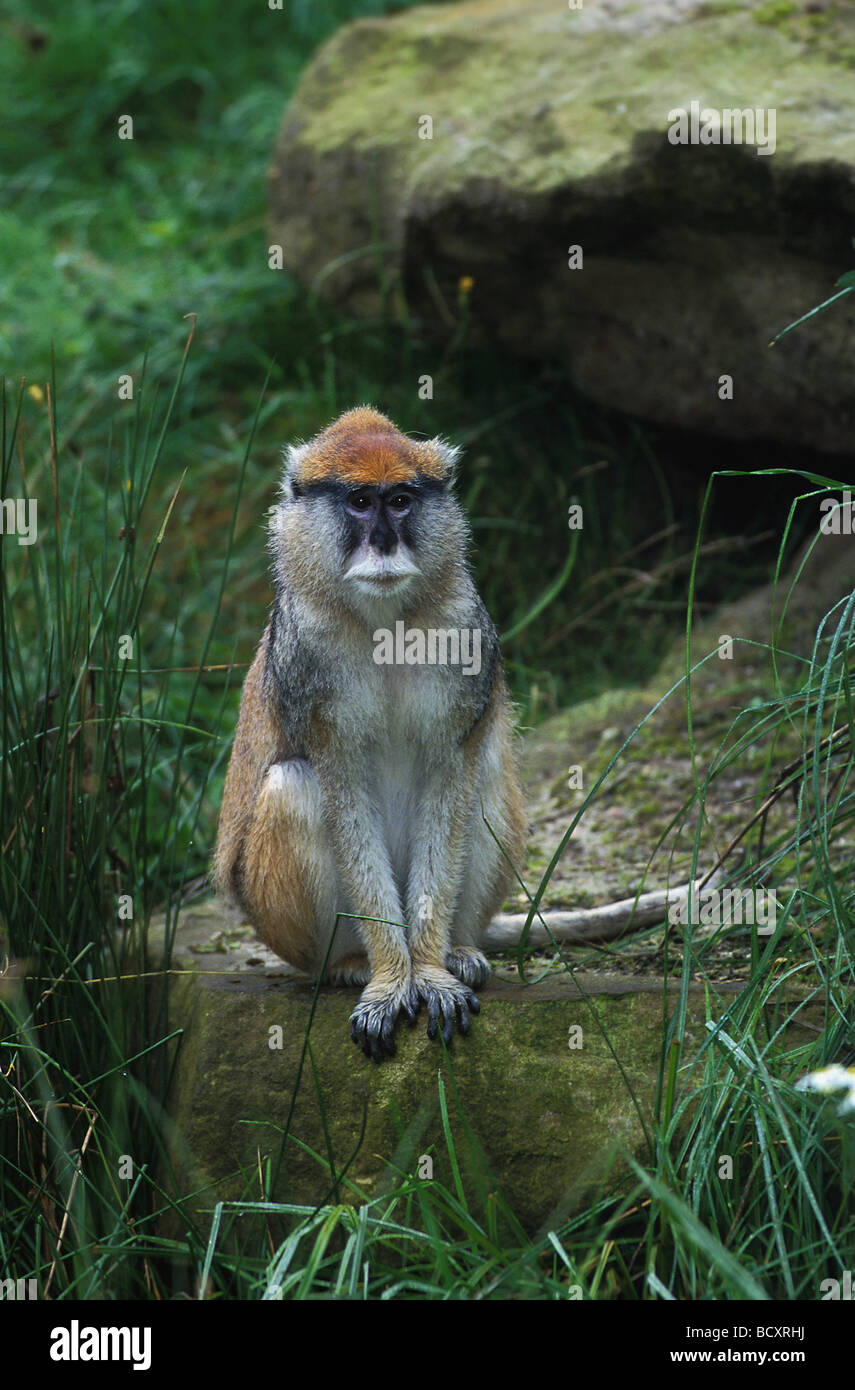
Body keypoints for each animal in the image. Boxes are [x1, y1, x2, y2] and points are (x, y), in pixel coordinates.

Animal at [214, 406, 706, 1062]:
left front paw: (431, 973)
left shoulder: (463, 632)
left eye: (400, 500)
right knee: (292, 786)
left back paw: (459, 949)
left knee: (483, 778)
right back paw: (347, 964)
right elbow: (340, 791)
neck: (386, 624)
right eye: (359, 502)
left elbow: (451, 777)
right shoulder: (308, 669)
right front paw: (390, 982)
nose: (384, 541)